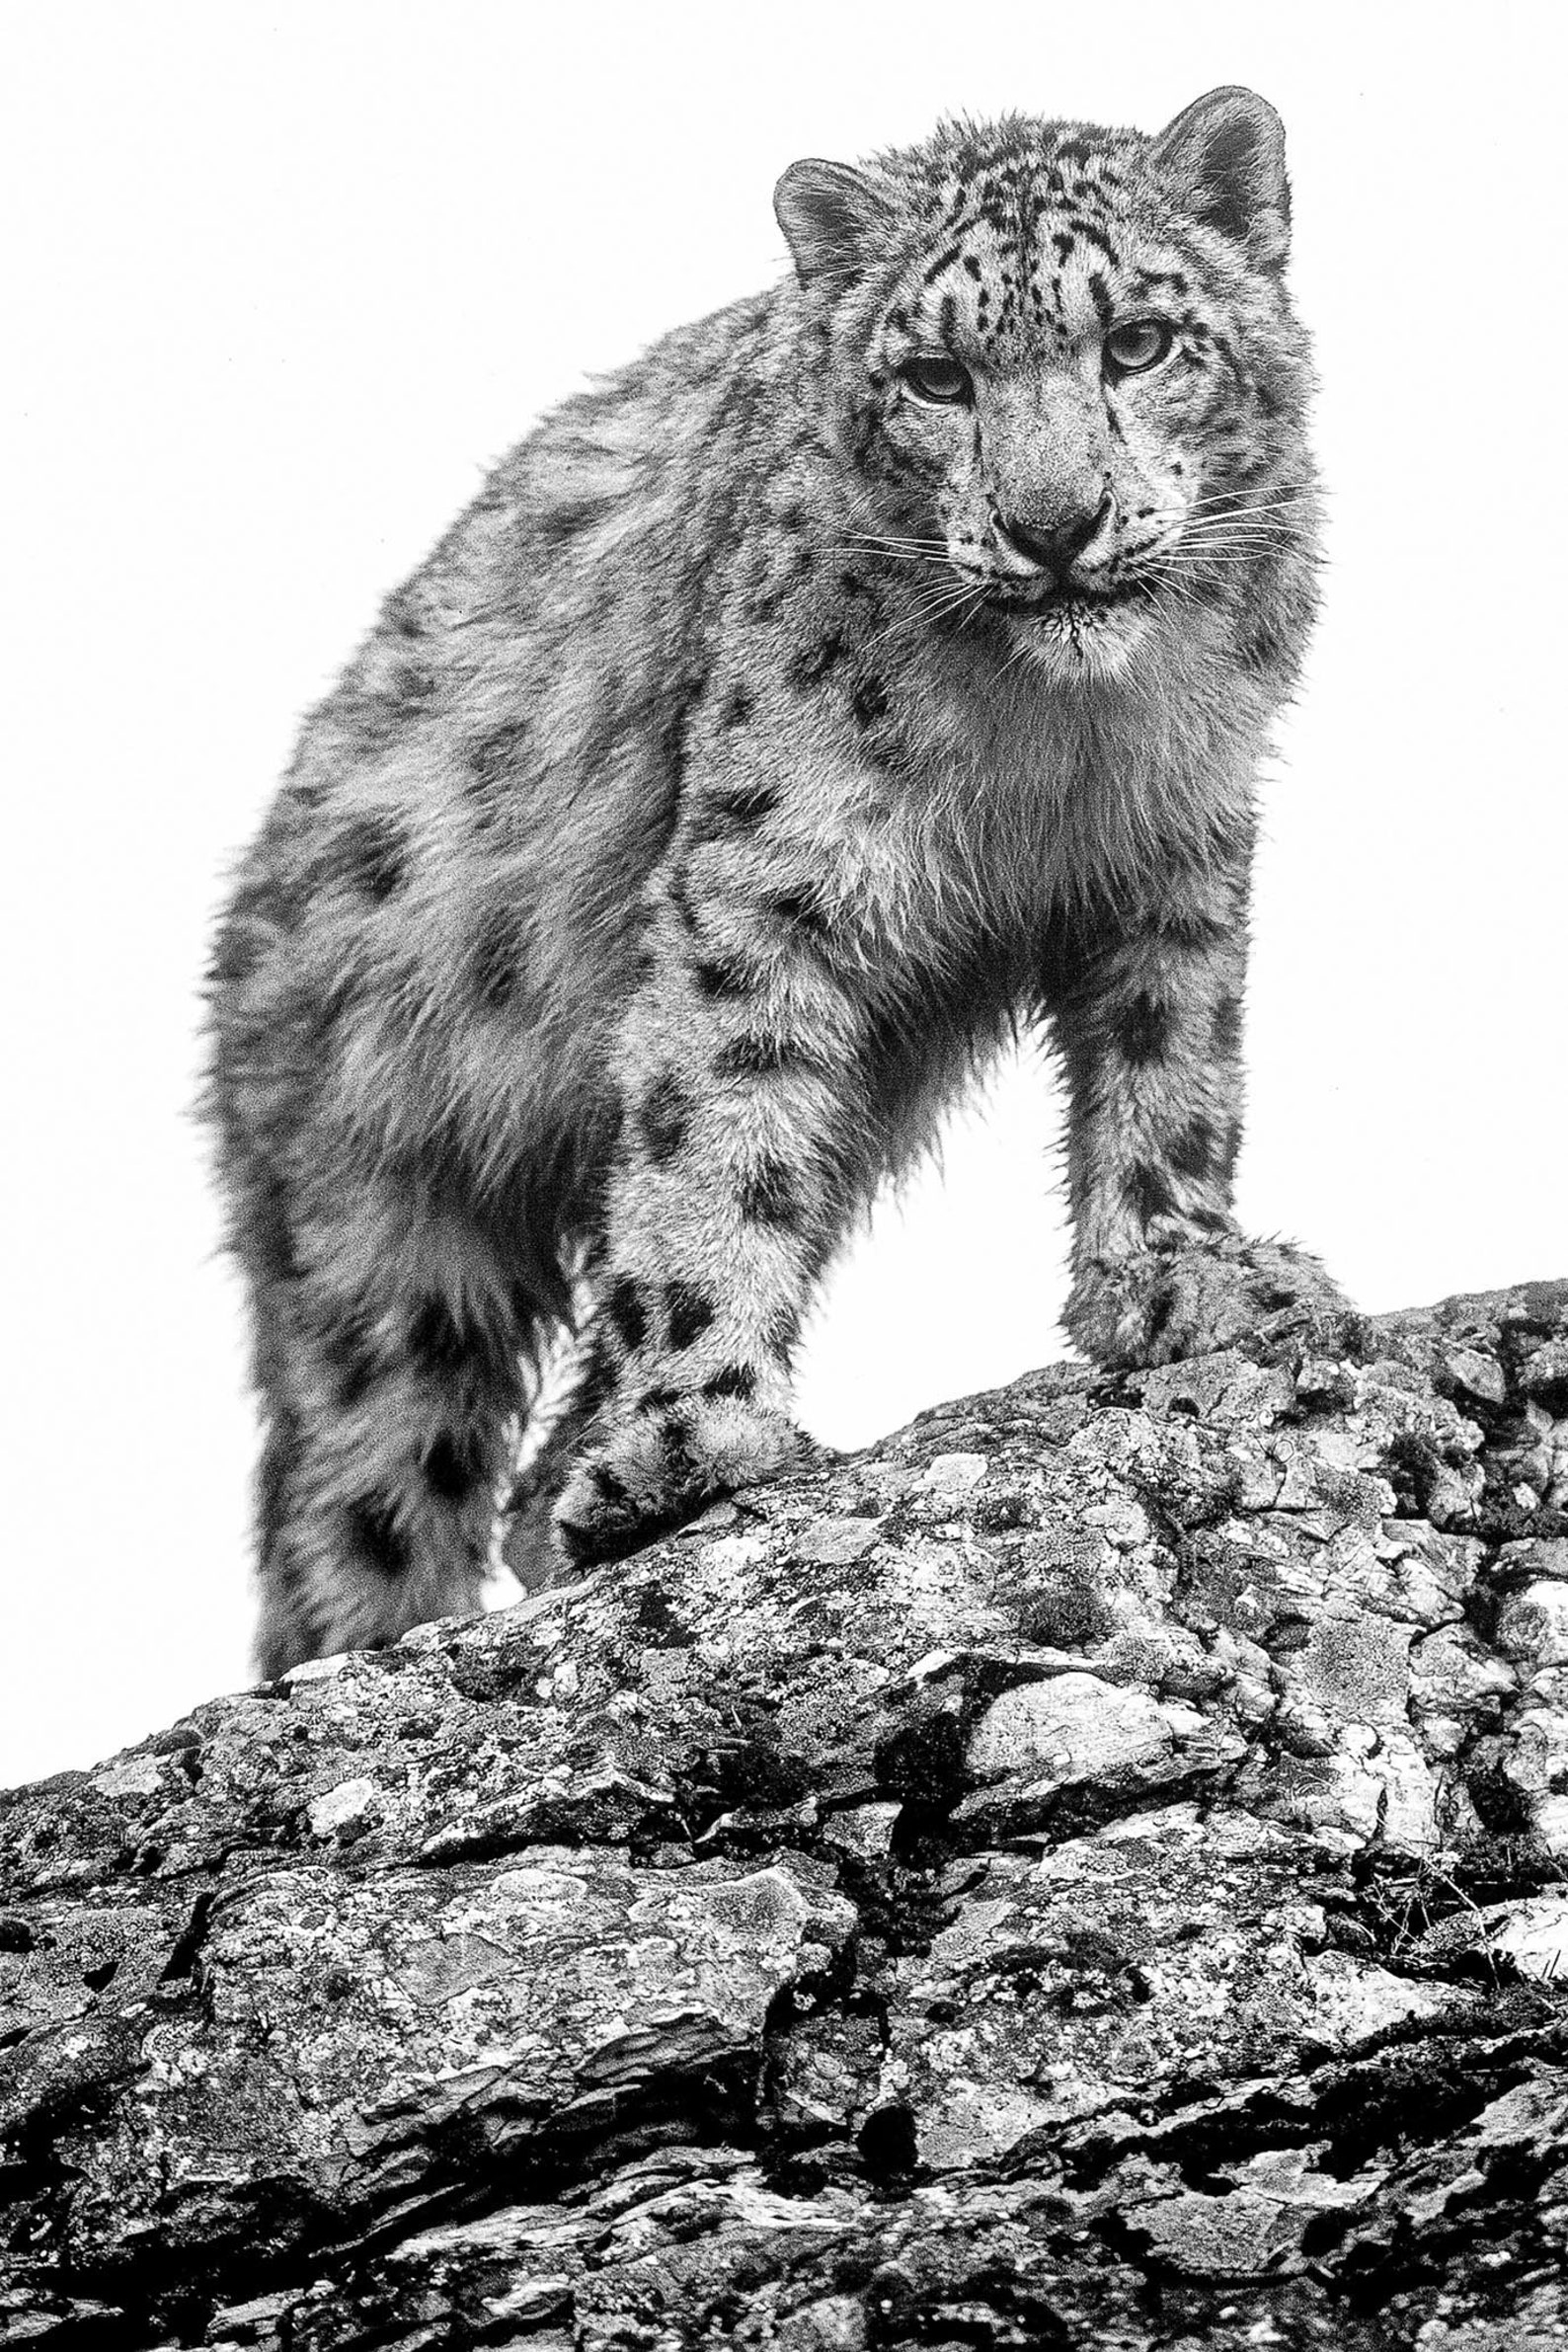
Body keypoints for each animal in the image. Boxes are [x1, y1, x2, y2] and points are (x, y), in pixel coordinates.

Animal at [207, 85, 1352, 1676]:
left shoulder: (1173, 854)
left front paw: (1185, 1277)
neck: (1050, 749)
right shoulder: (766, 883)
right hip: (376, 1212)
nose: (1053, 525)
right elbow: (712, 1147)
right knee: (365, 1497)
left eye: (1138, 342)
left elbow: (1170, 1065)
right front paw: (695, 1440)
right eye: (935, 376)